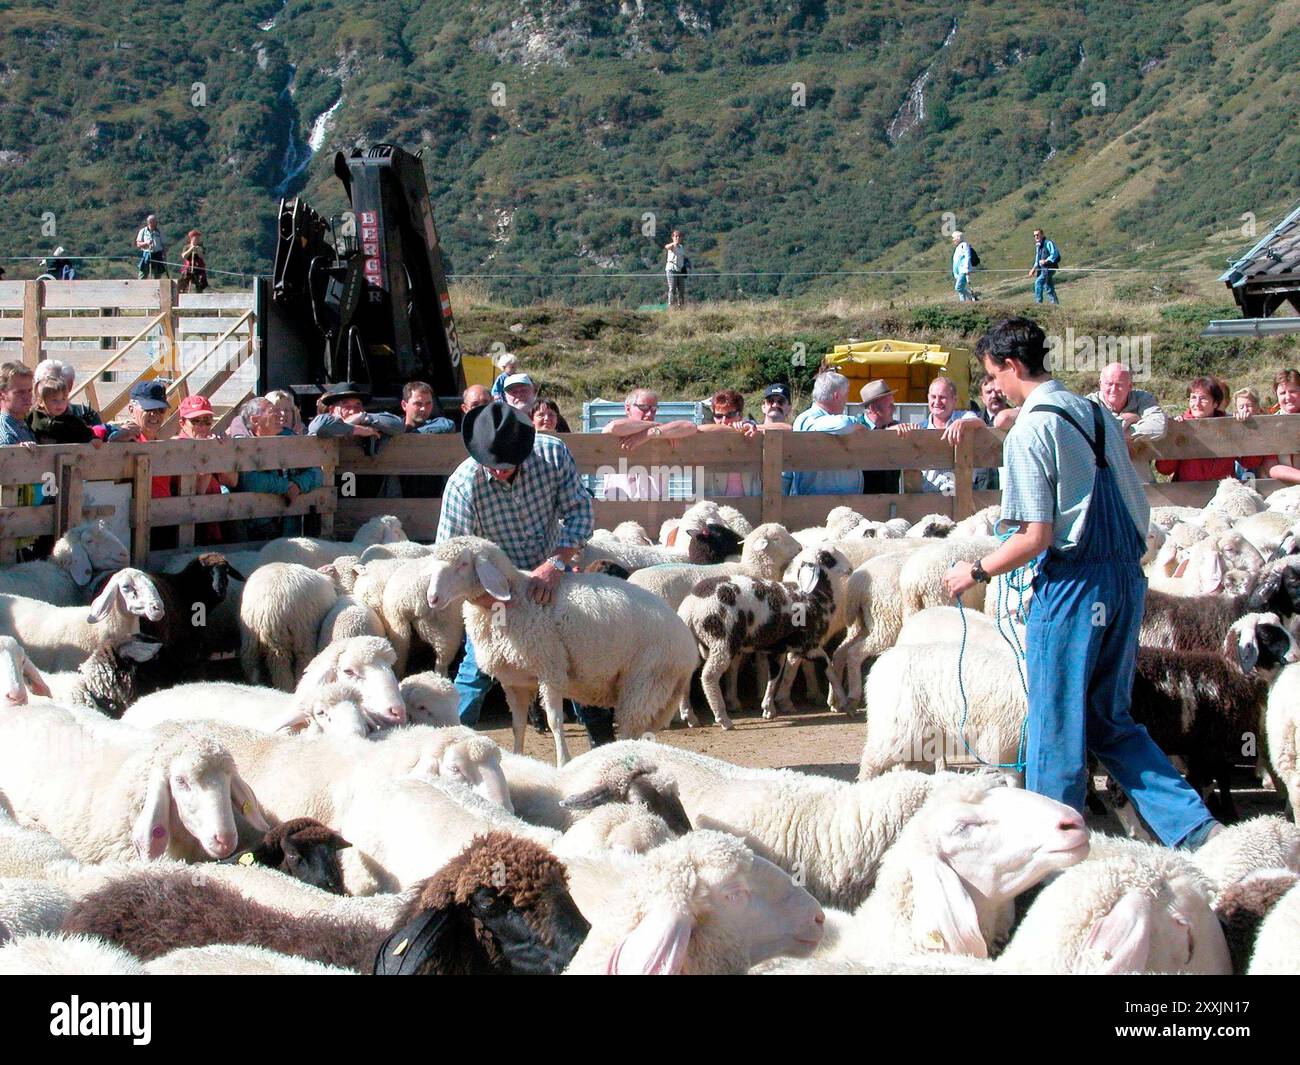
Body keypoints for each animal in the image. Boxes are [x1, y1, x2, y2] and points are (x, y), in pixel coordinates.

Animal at [426, 536, 699, 766]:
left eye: (462, 564)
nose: (432, 599)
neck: (515, 600)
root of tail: (688, 646)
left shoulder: (550, 671)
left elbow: (555, 722)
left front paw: (563, 762)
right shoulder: (514, 681)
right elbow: (518, 725)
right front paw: (517, 758)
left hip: (645, 682)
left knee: (630, 730)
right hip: (659, 692)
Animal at [678, 547, 852, 727]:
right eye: (828, 558)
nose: (850, 568)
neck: (815, 596)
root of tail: (689, 608)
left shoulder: (778, 648)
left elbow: (774, 676)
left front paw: (768, 708)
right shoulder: (807, 645)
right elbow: (828, 666)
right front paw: (844, 703)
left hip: (695, 645)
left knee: (686, 675)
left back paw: (689, 716)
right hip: (722, 641)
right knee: (709, 676)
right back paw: (722, 718)